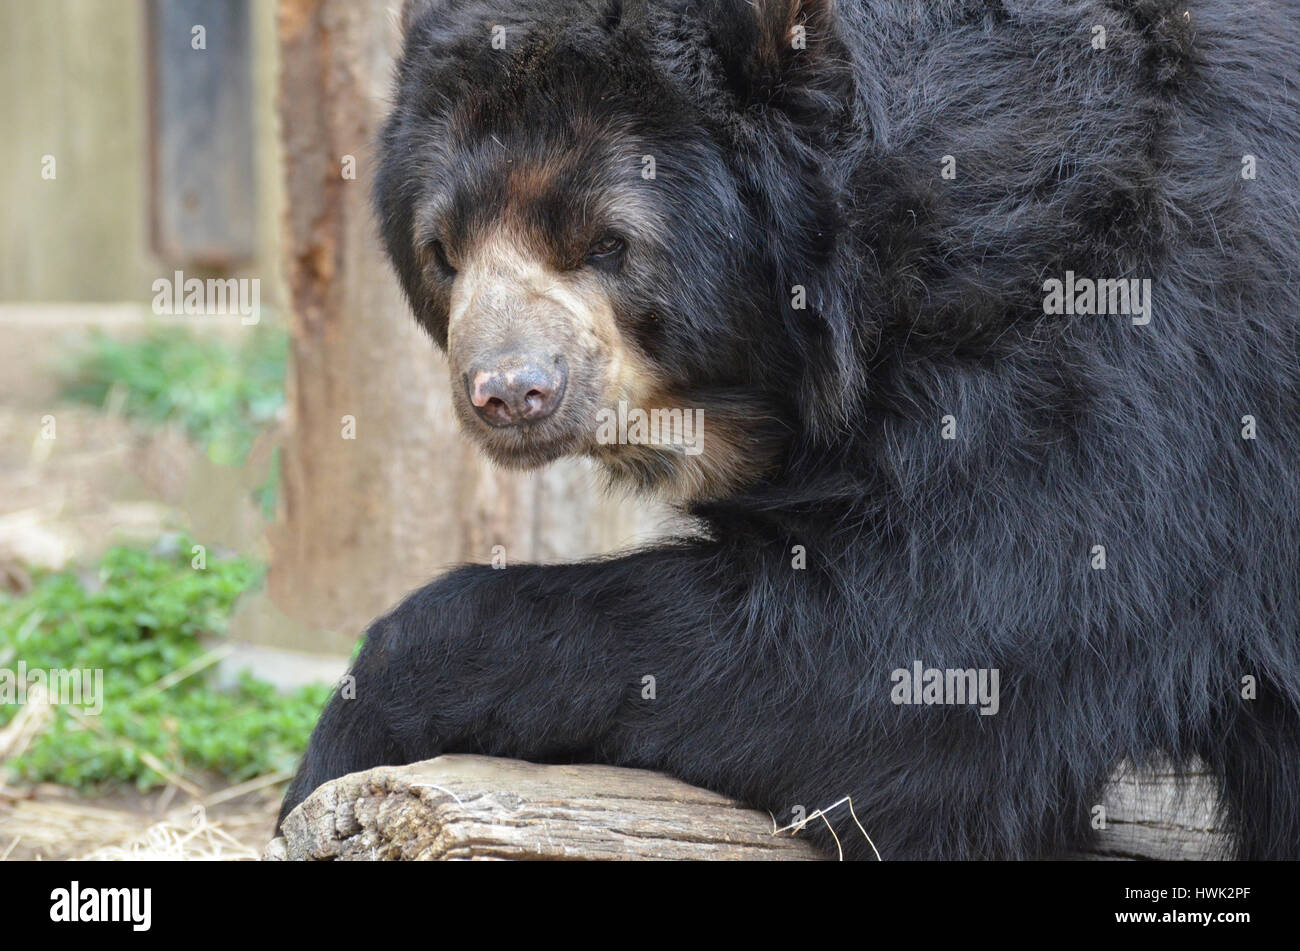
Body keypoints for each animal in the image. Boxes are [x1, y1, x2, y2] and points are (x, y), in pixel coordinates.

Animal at [278, 0, 1300, 860]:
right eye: (442, 252)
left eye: (609, 242)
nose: (510, 391)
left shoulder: (1146, 326)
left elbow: (912, 649)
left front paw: (337, 743)